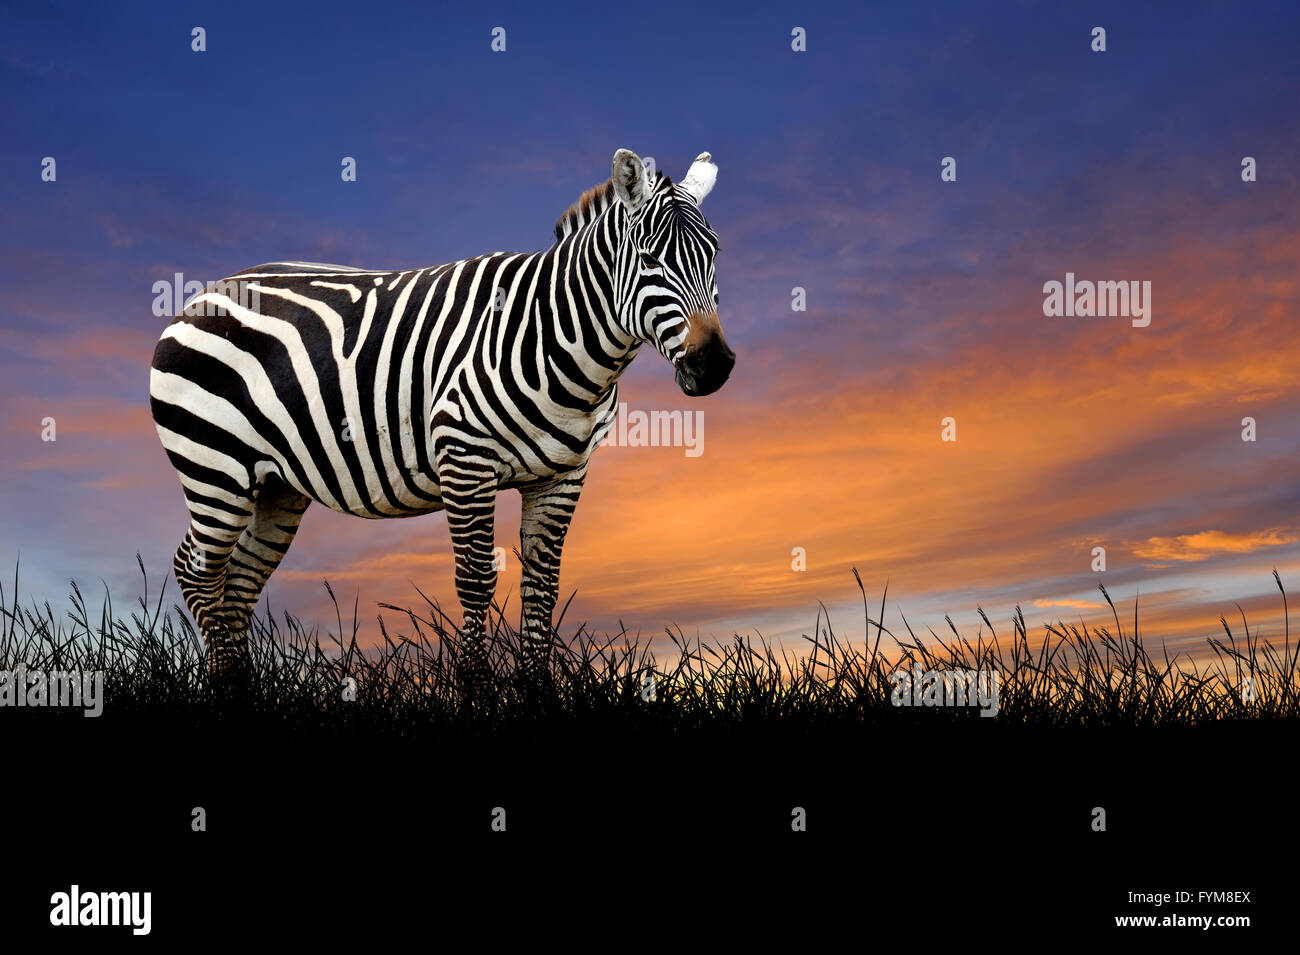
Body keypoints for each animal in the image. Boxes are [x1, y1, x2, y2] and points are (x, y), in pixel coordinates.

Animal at [149, 149, 735, 682]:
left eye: (715, 254)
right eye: (651, 259)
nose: (714, 367)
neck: (556, 339)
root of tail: (201, 295)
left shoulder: (562, 476)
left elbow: (541, 588)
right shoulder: (465, 461)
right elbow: (475, 582)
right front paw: (475, 694)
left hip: (276, 485)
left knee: (238, 584)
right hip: (216, 470)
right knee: (196, 570)